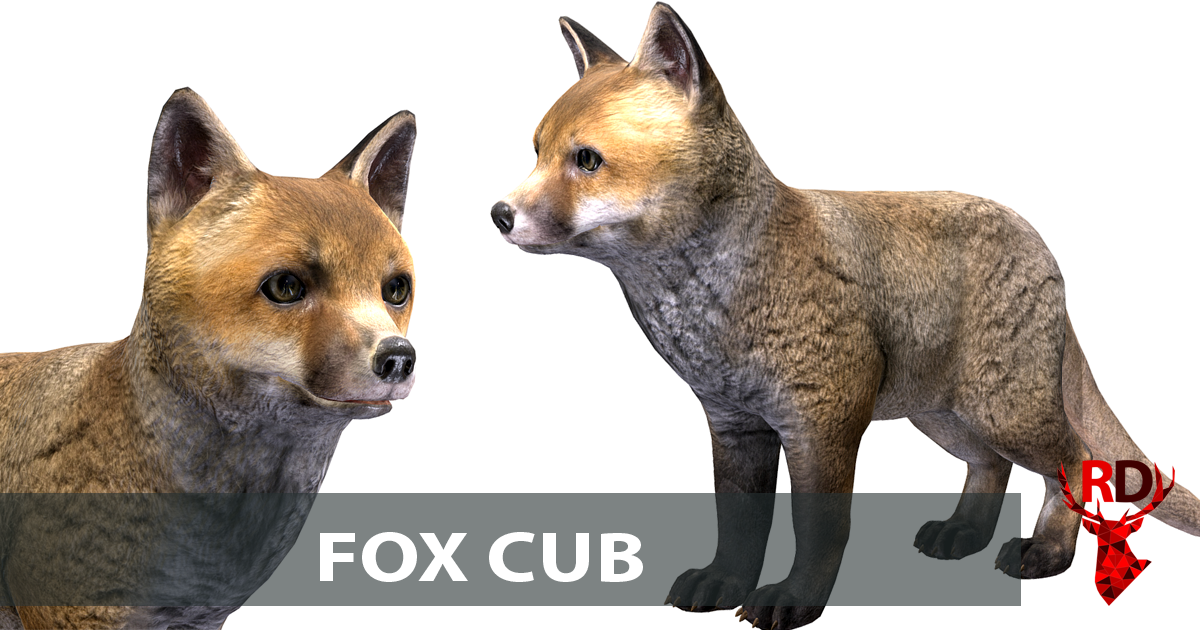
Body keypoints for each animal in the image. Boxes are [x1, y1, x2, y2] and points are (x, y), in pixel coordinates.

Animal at [491, 3, 1200, 629]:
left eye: (586, 160)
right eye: (535, 151)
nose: (499, 214)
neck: (713, 306)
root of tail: (1038, 241)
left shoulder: (822, 421)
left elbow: (820, 529)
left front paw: (795, 601)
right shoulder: (735, 425)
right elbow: (738, 526)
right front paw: (724, 583)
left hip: (1005, 408)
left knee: (1074, 460)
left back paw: (1049, 551)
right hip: (941, 414)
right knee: (990, 466)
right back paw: (962, 534)